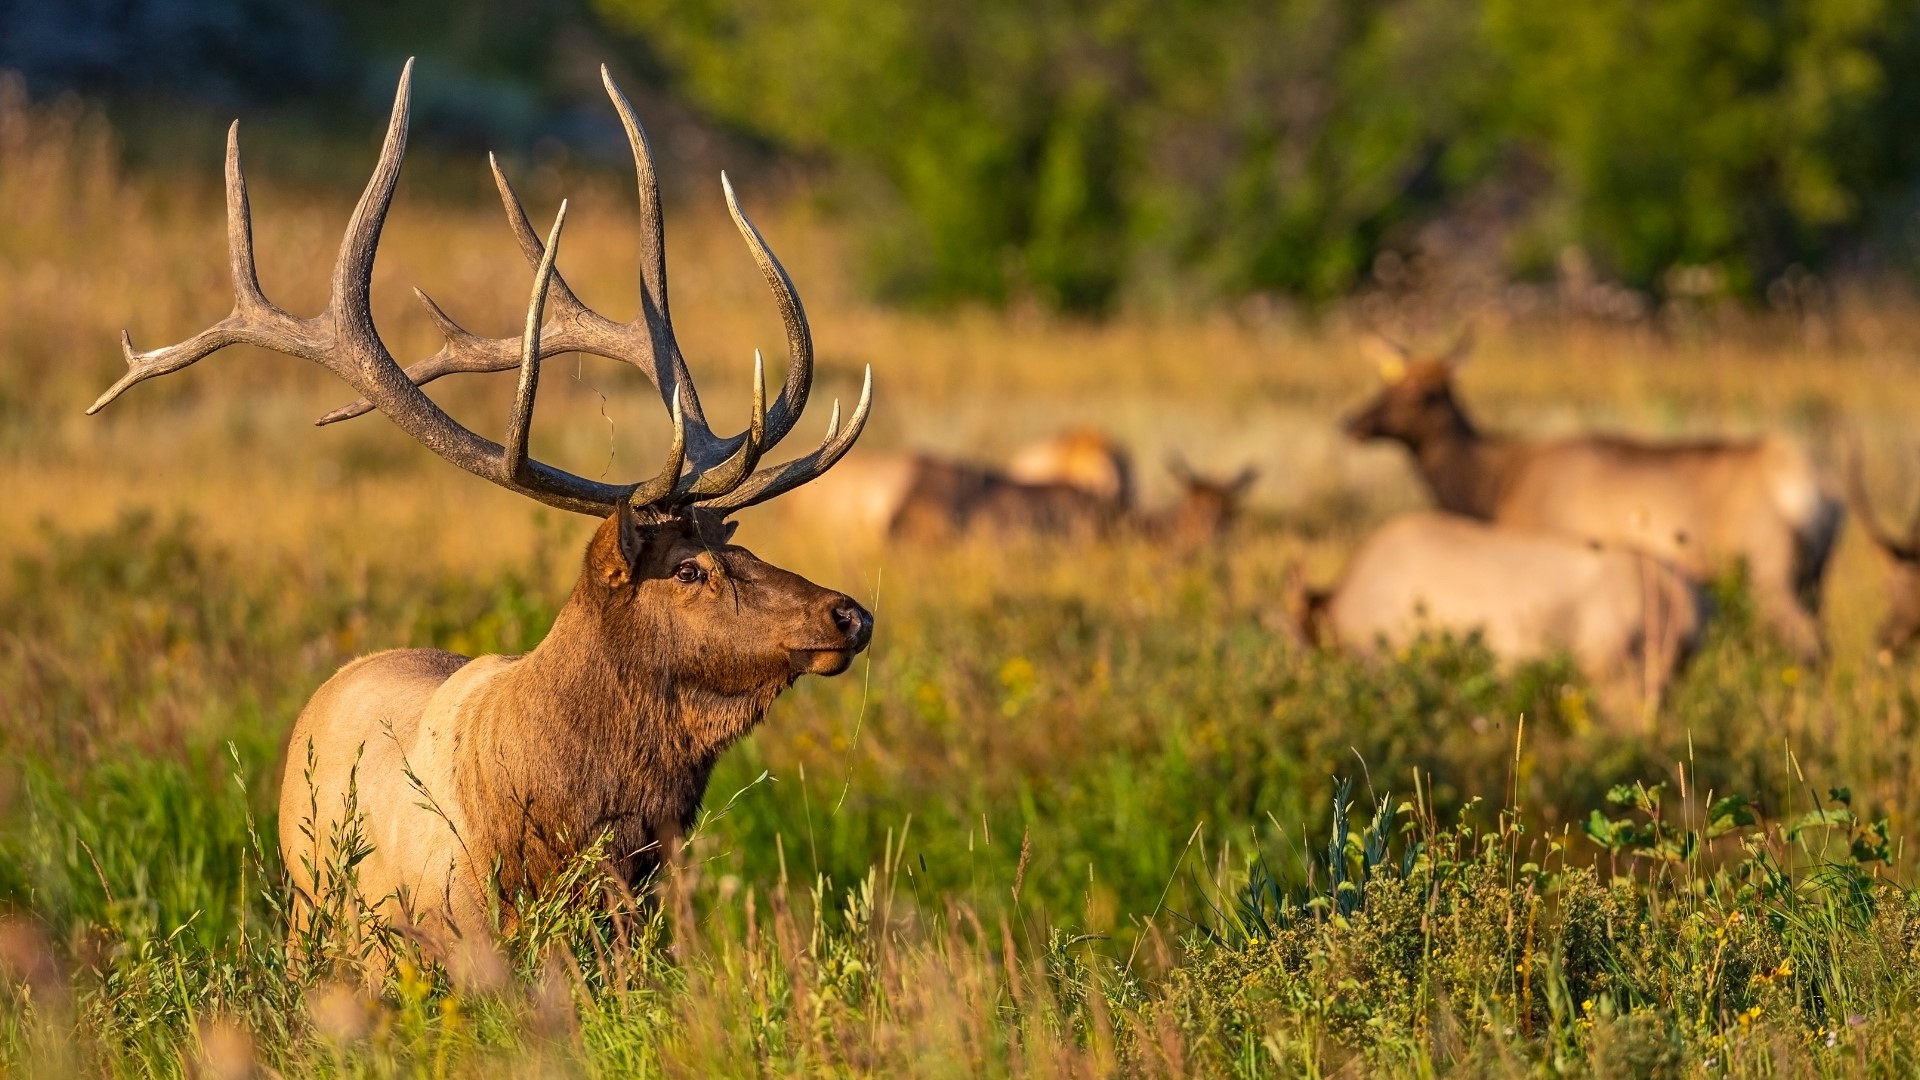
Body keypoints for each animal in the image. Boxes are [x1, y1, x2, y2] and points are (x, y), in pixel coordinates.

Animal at [1343, 331, 1841, 660]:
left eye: (1427, 393)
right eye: (1387, 382)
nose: (1353, 422)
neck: (1493, 485)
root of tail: (1819, 492)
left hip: (1771, 576)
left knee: (1811, 650)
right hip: (1815, 581)